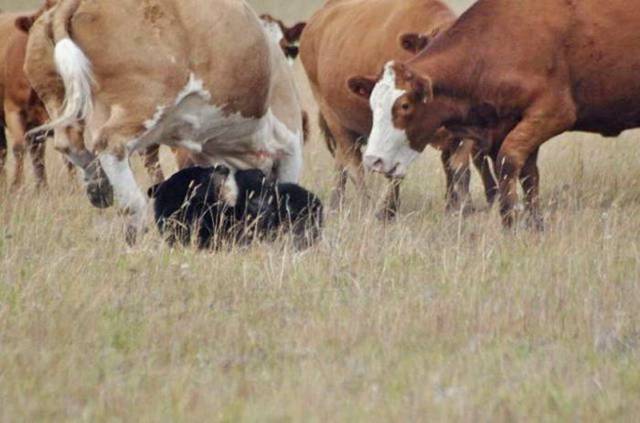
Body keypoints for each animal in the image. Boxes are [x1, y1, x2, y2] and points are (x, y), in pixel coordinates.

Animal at [24, 0, 304, 243]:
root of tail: (75, 3)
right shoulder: (289, 141)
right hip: (145, 100)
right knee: (110, 145)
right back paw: (135, 218)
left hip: (59, 96)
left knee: (70, 143)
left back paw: (99, 187)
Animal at [300, 0, 497, 219]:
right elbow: (393, 171)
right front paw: (387, 211)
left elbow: (459, 169)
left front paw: (460, 209)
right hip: (334, 120)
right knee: (354, 166)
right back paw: (365, 208)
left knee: (341, 162)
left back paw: (336, 205)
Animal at [354, 0, 640, 228]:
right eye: (373, 105)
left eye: (404, 106)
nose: (373, 160)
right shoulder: (506, 125)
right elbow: (528, 175)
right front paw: (534, 225)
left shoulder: (553, 114)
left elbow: (508, 161)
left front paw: (510, 221)